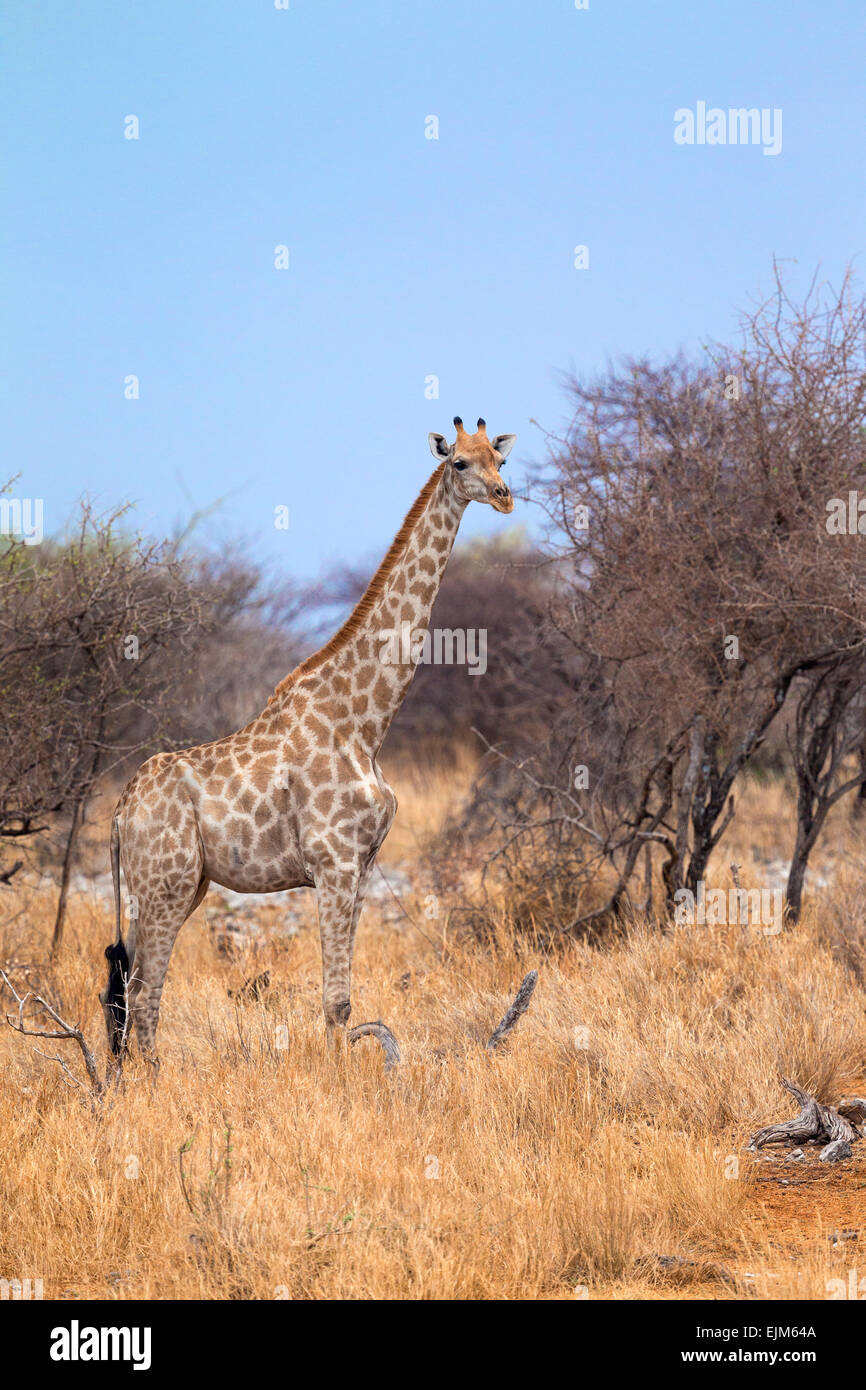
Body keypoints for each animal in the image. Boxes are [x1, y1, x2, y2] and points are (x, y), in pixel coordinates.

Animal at [100, 417, 516, 1066]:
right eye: (460, 464)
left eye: (498, 457)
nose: (504, 496)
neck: (366, 723)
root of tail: (120, 813)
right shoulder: (333, 862)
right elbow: (336, 1001)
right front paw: (338, 1079)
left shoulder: (363, 866)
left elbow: (342, 996)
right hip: (164, 885)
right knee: (143, 991)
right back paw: (151, 1083)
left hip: (181, 886)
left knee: (132, 990)